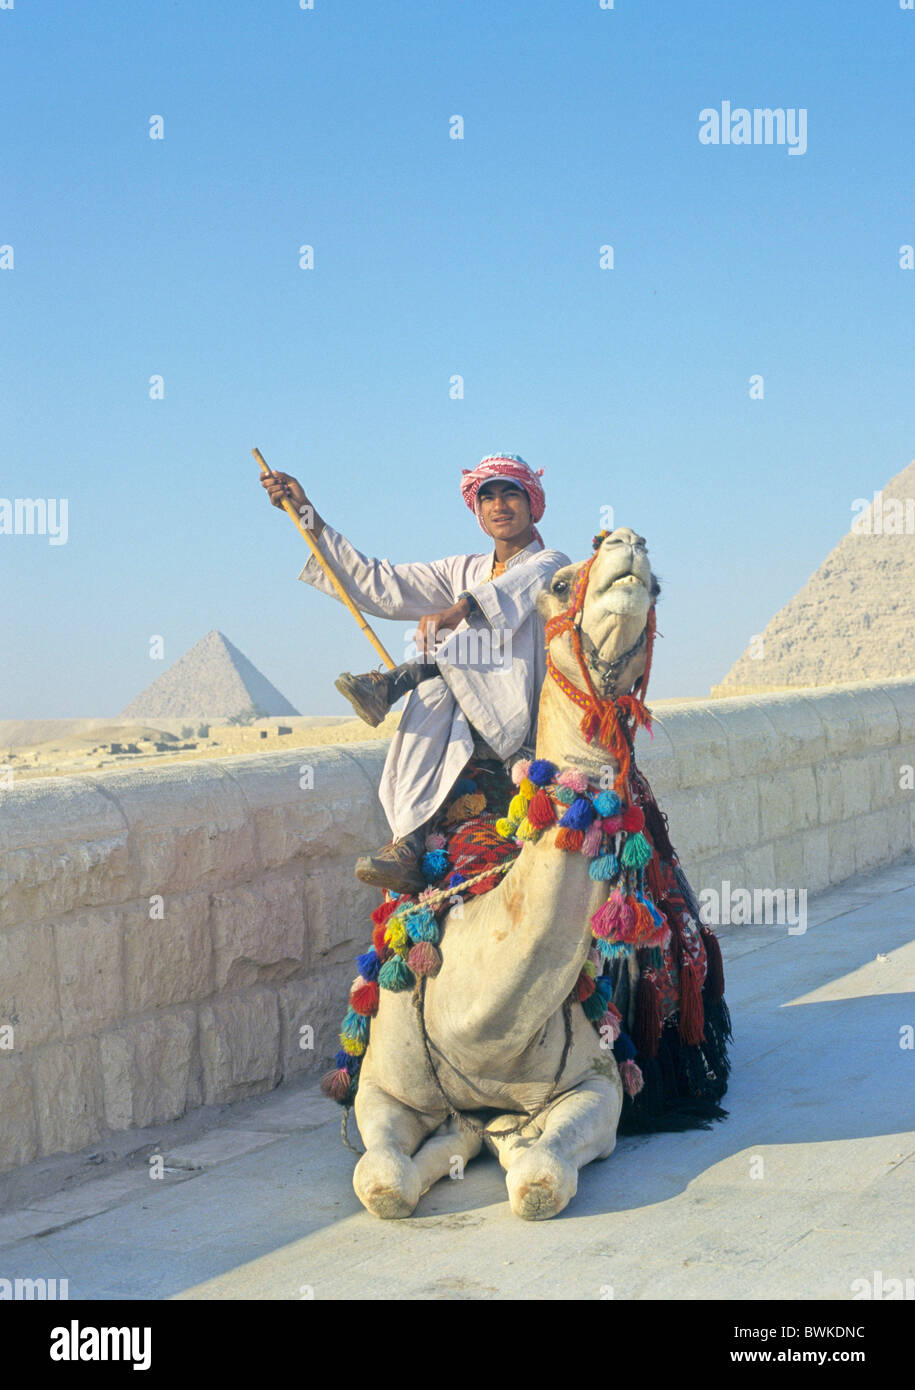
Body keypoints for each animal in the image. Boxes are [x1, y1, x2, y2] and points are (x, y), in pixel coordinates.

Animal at [343, 528, 687, 1220]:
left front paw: (507, 1141)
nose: (628, 544)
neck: (480, 1027)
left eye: (659, 586)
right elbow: (383, 1181)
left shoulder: (597, 1082)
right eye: (560, 584)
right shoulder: (381, 1090)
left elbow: (537, 1179)